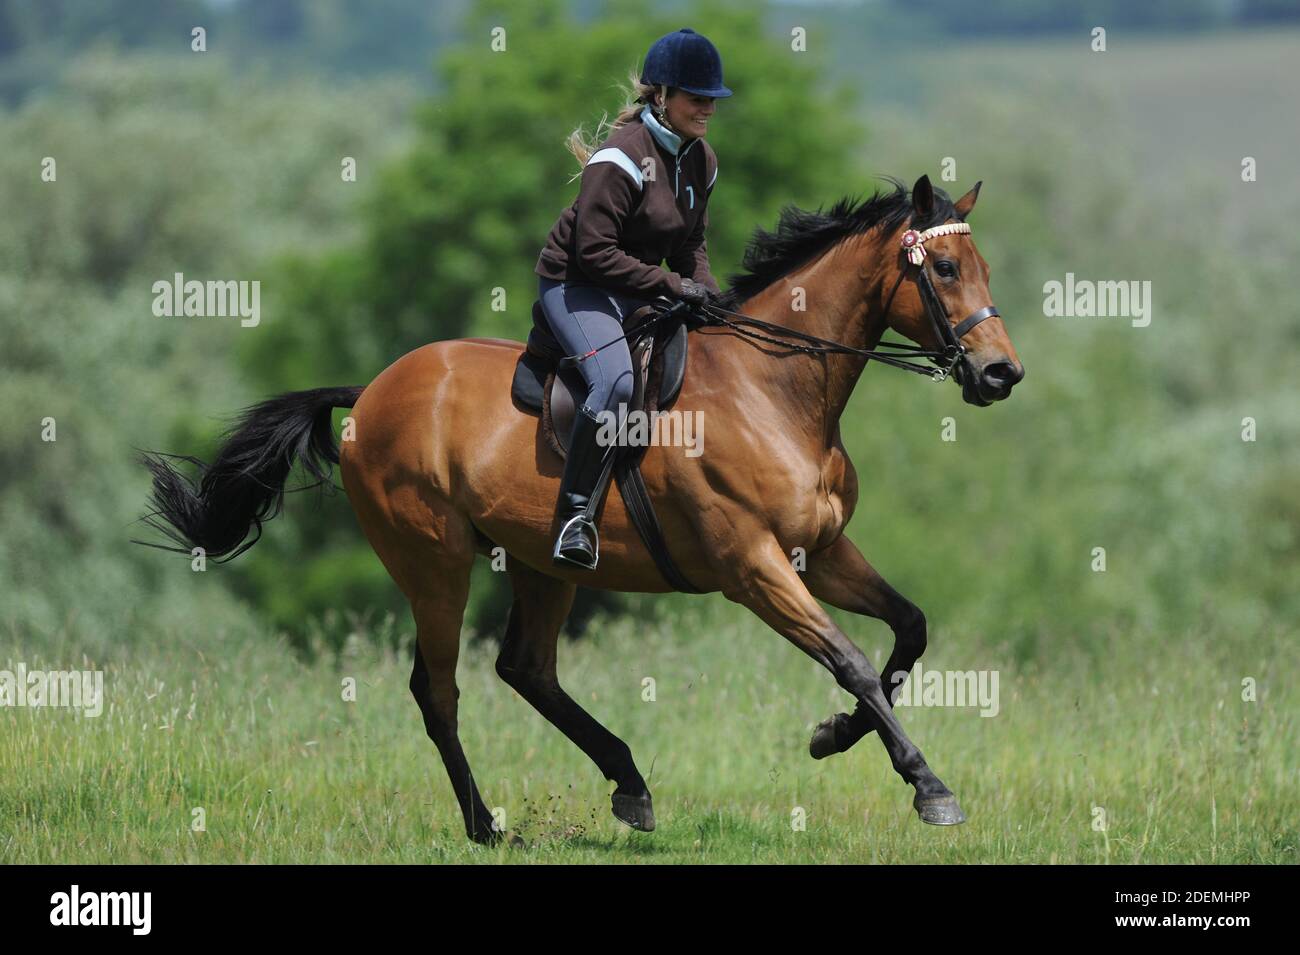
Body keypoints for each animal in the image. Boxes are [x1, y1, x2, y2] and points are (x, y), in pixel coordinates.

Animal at [138, 175, 1023, 844]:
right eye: (945, 269)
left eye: (983, 265)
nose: (1001, 374)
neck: (774, 390)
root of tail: (372, 391)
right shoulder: (753, 565)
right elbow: (851, 659)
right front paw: (929, 787)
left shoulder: (825, 551)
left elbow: (907, 630)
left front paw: (833, 734)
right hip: (434, 560)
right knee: (438, 688)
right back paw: (488, 826)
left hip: (539, 562)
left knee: (526, 668)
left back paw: (627, 782)